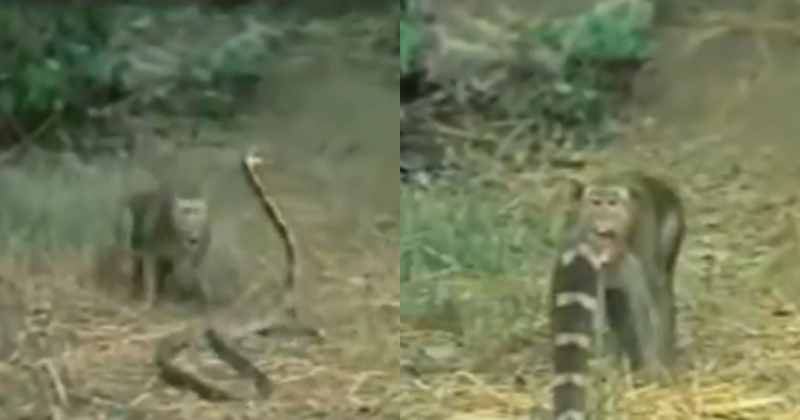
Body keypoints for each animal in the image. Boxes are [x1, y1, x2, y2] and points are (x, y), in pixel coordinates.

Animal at [119, 180, 211, 309]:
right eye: (185, 211)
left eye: (196, 211)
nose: (191, 224)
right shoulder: (150, 252)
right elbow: (150, 277)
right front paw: (148, 300)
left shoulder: (182, 256)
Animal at [548, 171, 686, 420]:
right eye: (596, 203)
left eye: (612, 204)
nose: (603, 219)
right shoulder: (573, 240)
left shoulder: (642, 244)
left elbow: (650, 300)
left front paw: (656, 369)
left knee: (658, 292)